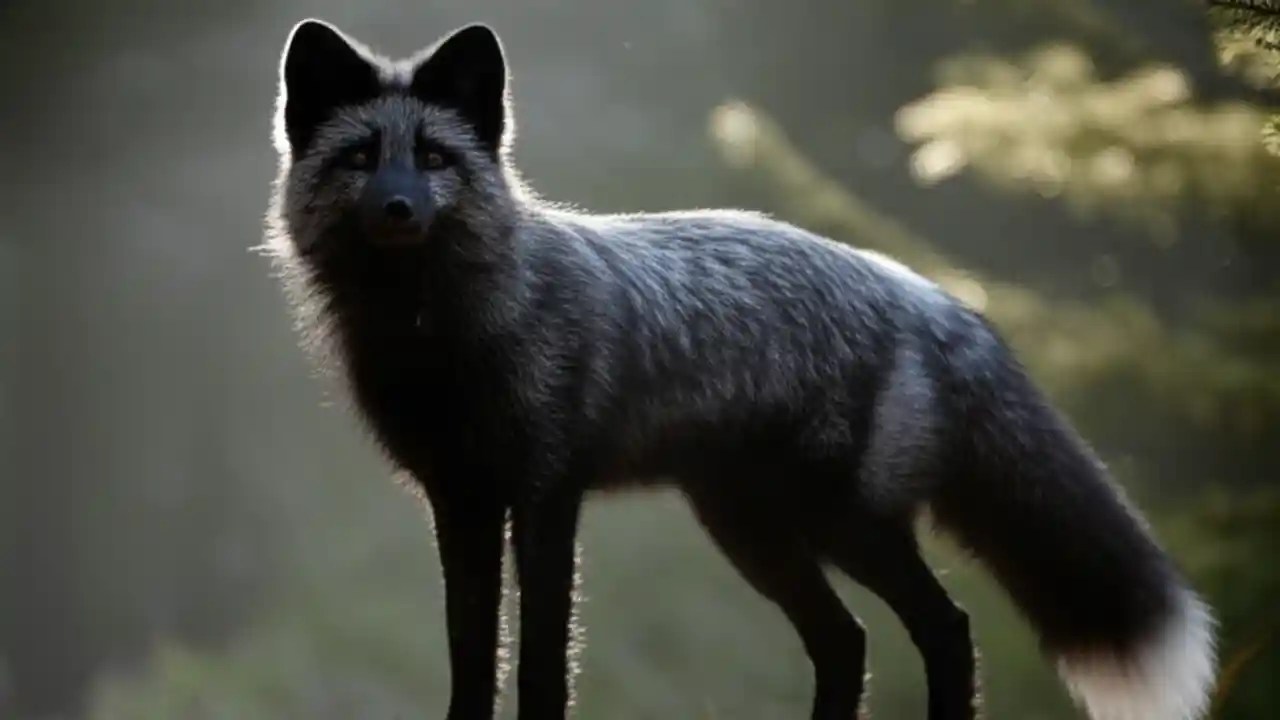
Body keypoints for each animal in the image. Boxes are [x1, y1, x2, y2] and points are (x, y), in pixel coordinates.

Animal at [263, 18, 1217, 720]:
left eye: (433, 157)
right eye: (360, 157)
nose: (397, 207)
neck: (439, 335)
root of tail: (922, 291)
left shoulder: (544, 494)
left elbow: (538, 663)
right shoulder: (457, 501)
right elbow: (471, 659)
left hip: (842, 521)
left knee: (944, 627)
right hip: (751, 529)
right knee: (847, 641)